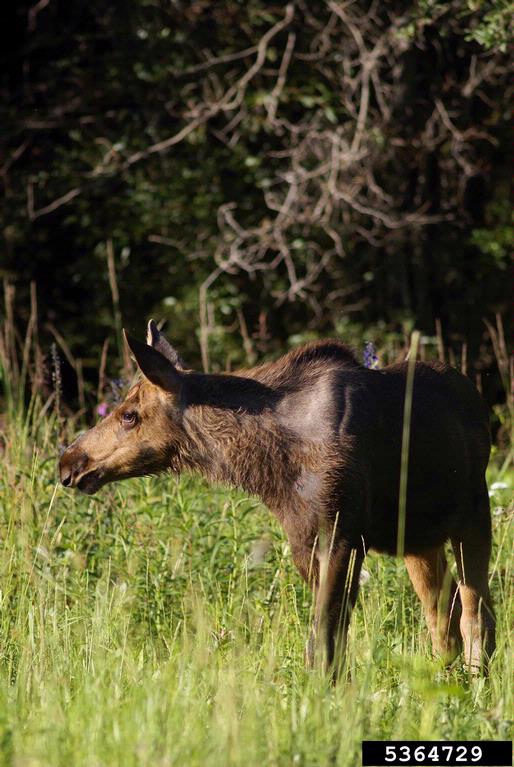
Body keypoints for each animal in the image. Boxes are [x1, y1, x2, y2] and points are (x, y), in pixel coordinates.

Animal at [59, 321, 495, 677]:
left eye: (129, 414)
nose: (69, 462)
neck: (268, 466)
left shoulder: (342, 534)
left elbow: (324, 640)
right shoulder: (303, 539)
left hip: (473, 514)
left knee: (477, 614)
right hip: (417, 540)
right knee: (444, 615)